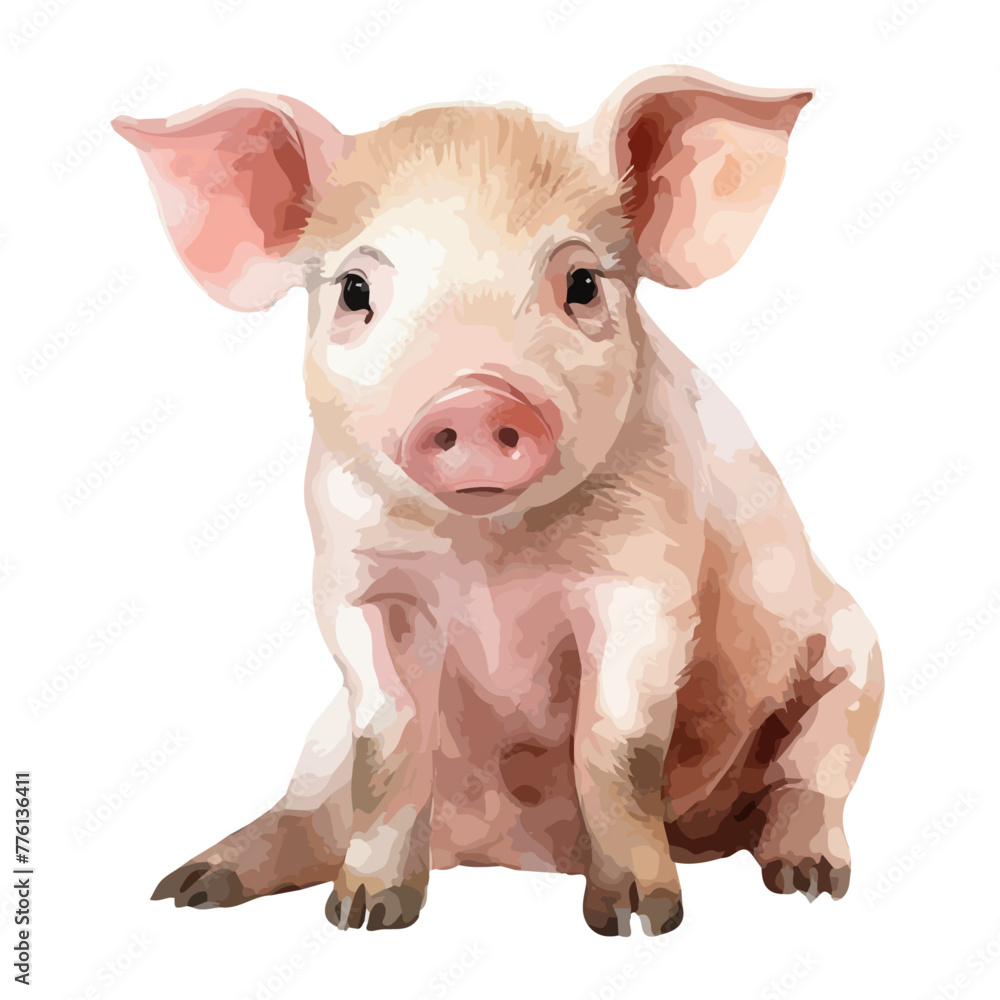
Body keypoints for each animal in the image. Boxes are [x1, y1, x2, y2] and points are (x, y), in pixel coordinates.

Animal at [114, 65, 883, 936]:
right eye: (354, 291)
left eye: (581, 283)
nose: (477, 399)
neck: (487, 550)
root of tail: (509, 853)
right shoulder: (353, 579)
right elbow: (387, 745)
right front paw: (363, 915)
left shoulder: (647, 578)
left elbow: (616, 747)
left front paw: (638, 919)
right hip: (320, 749)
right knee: (303, 815)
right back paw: (188, 885)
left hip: (856, 660)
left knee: (809, 782)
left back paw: (808, 879)